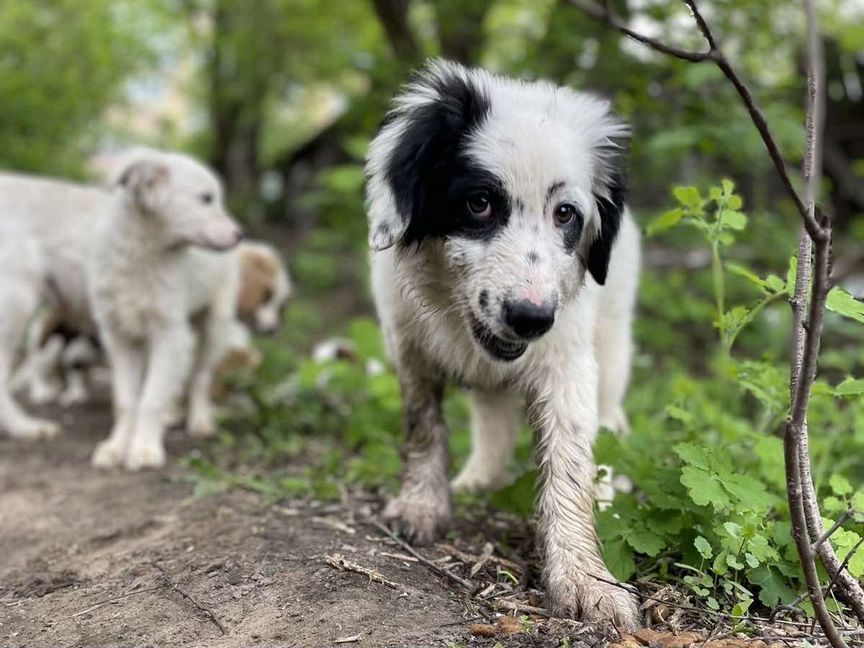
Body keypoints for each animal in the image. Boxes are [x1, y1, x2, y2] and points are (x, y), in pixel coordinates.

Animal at [89, 149, 243, 468]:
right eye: (206, 198)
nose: (240, 234)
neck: (142, 255)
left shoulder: (169, 332)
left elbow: (151, 398)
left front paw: (144, 449)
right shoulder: (118, 335)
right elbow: (127, 400)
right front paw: (117, 447)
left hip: (214, 324)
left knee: (199, 376)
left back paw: (200, 421)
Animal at [364, 60, 640, 628]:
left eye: (566, 214)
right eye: (479, 203)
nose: (531, 319)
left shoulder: (569, 361)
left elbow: (570, 467)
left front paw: (585, 578)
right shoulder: (407, 346)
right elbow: (423, 427)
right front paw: (422, 505)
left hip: (613, 343)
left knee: (610, 421)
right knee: (492, 417)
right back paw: (478, 479)